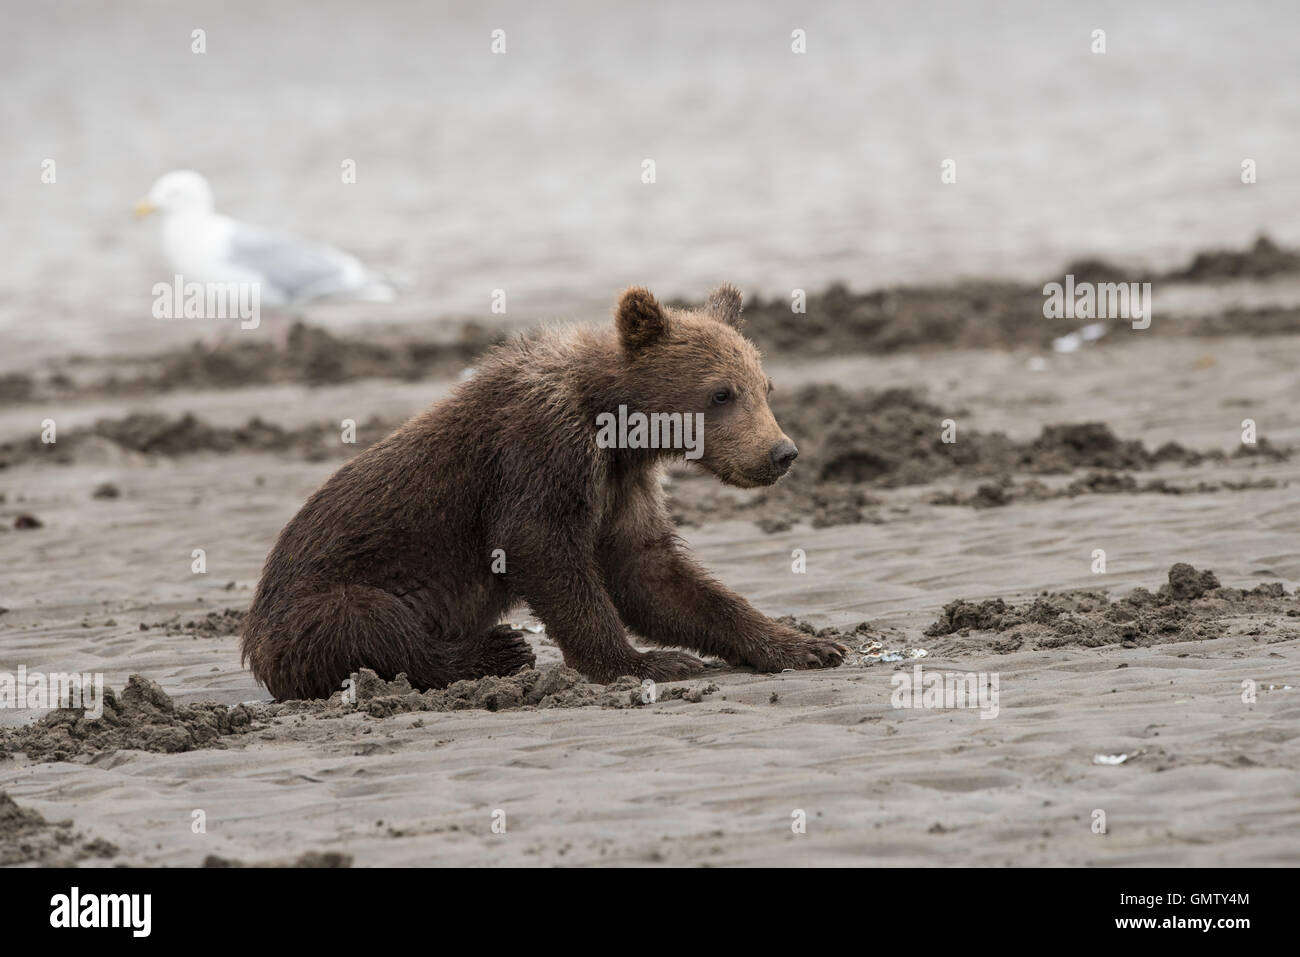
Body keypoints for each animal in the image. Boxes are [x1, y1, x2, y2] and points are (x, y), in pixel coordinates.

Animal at [241, 284, 848, 700]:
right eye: (721, 392)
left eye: (766, 386)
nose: (781, 453)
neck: (616, 427)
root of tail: (254, 637)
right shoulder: (541, 452)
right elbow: (543, 550)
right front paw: (649, 663)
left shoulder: (623, 484)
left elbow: (654, 573)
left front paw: (806, 644)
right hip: (320, 601)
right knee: (373, 625)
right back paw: (496, 651)